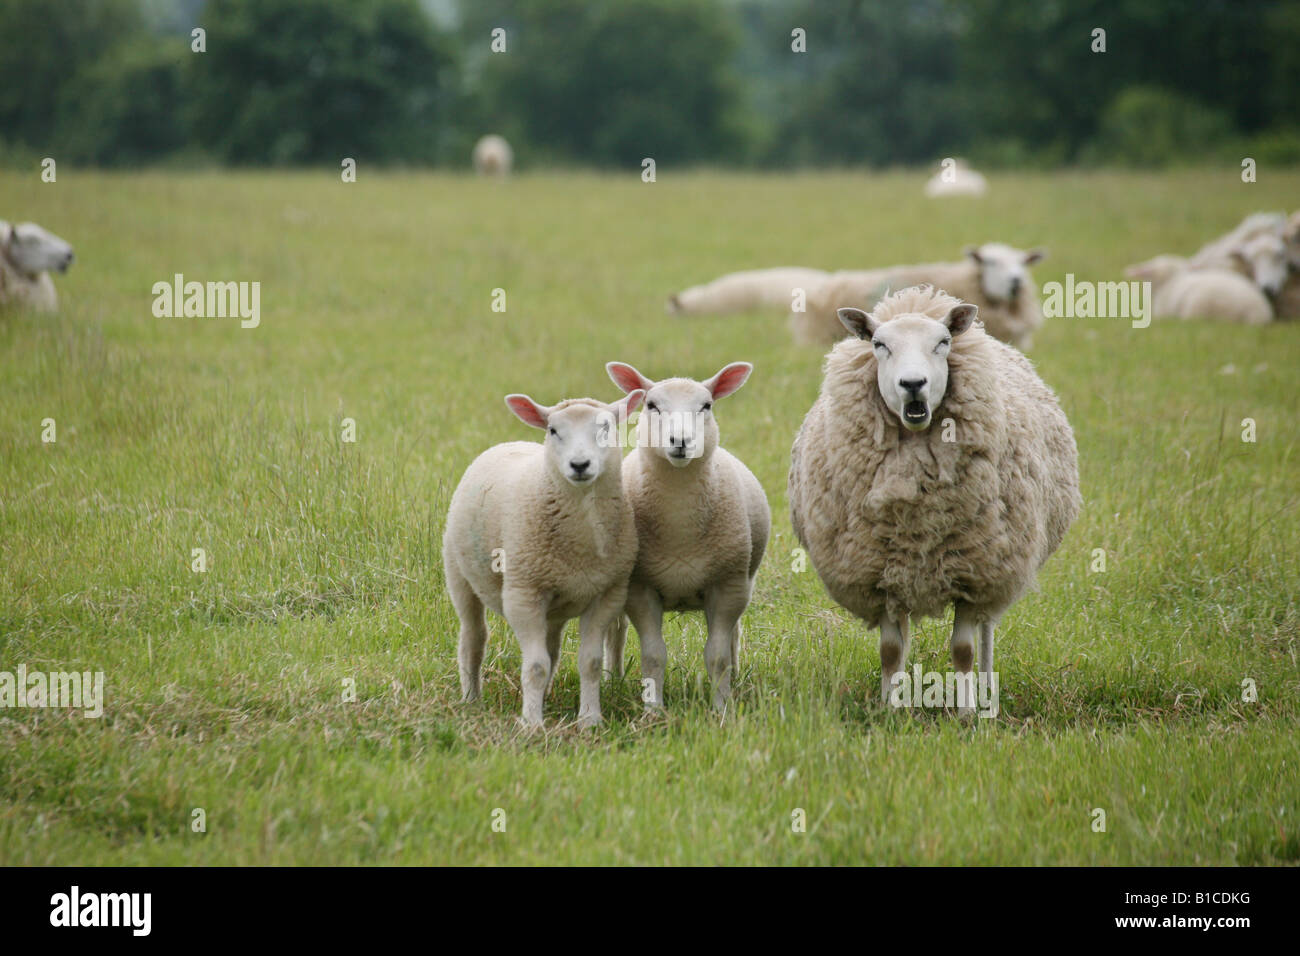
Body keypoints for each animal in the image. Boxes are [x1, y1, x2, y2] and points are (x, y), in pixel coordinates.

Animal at [443, 388, 645, 728]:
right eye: (553, 430)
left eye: (605, 427)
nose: (580, 464)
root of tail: (508, 443)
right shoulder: (523, 594)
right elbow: (535, 666)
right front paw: (532, 724)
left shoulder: (607, 593)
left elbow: (589, 662)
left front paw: (590, 720)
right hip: (459, 575)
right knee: (473, 638)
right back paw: (471, 698)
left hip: (554, 604)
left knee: (551, 648)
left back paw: (546, 697)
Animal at [603, 361, 770, 714]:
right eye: (652, 405)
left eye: (706, 406)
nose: (680, 440)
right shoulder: (640, 588)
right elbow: (653, 655)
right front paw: (653, 711)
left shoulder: (727, 586)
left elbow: (717, 656)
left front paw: (721, 709)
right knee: (615, 631)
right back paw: (612, 680)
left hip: (741, 582)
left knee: (733, 635)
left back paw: (736, 678)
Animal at [788, 285, 1080, 716]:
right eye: (879, 344)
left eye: (942, 343)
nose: (913, 383)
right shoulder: (880, 575)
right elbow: (891, 651)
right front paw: (891, 708)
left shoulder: (973, 574)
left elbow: (963, 650)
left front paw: (965, 711)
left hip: (1002, 560)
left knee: (988, 630)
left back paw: (988, 701)